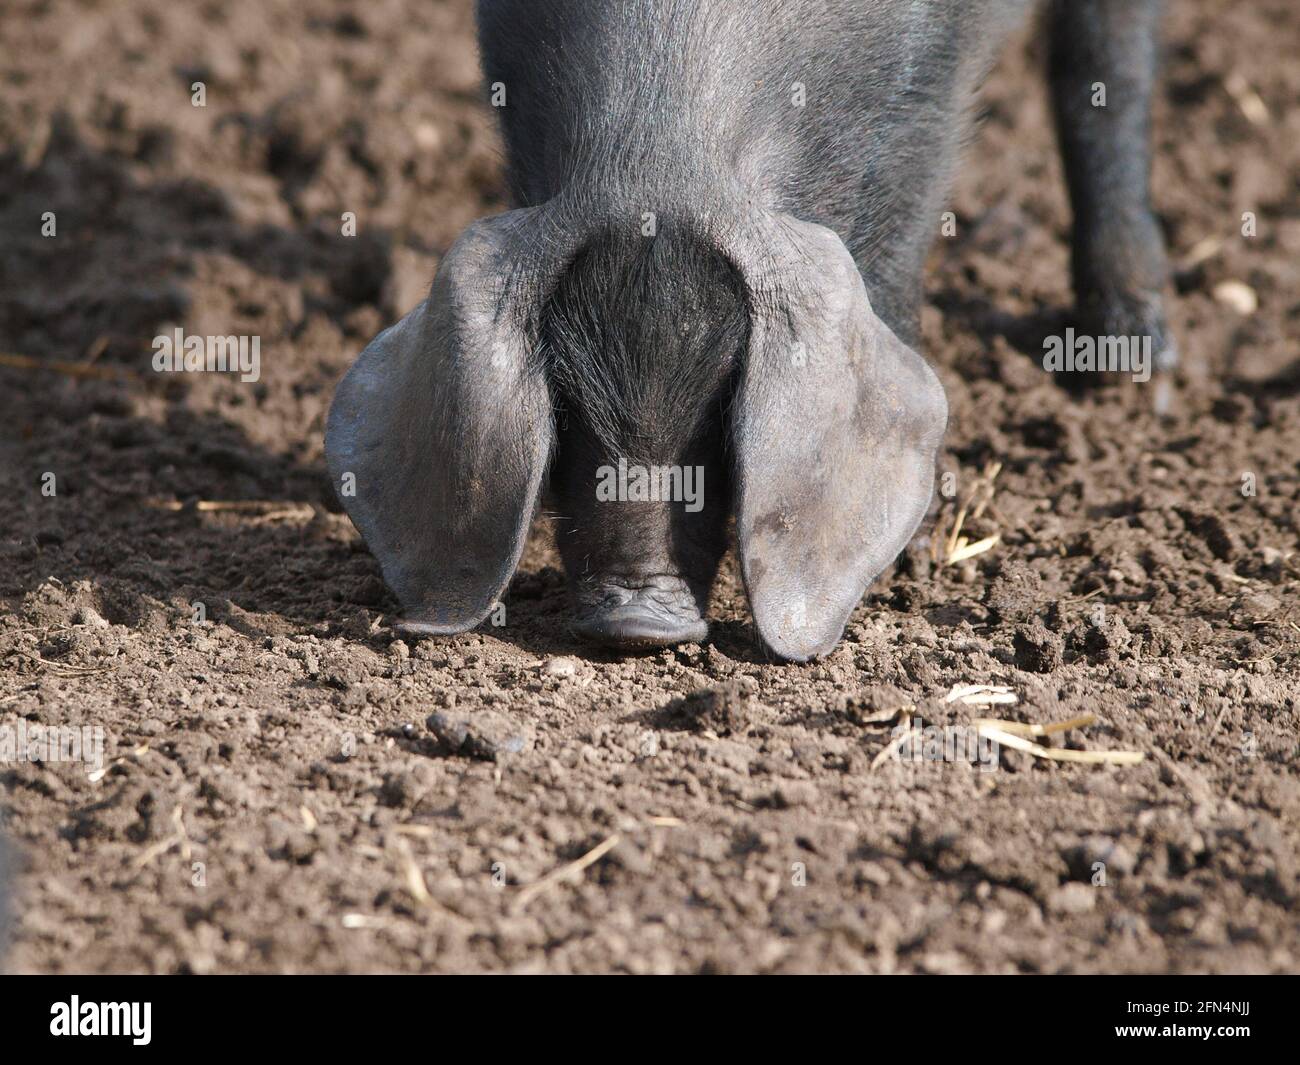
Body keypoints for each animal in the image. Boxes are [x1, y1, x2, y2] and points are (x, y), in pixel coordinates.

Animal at [326, 0, 1174, 661]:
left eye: (721, 420)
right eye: (566, 412)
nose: (638, 622)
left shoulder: (927, 95)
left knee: (1108, 74)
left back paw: (1136, 357)